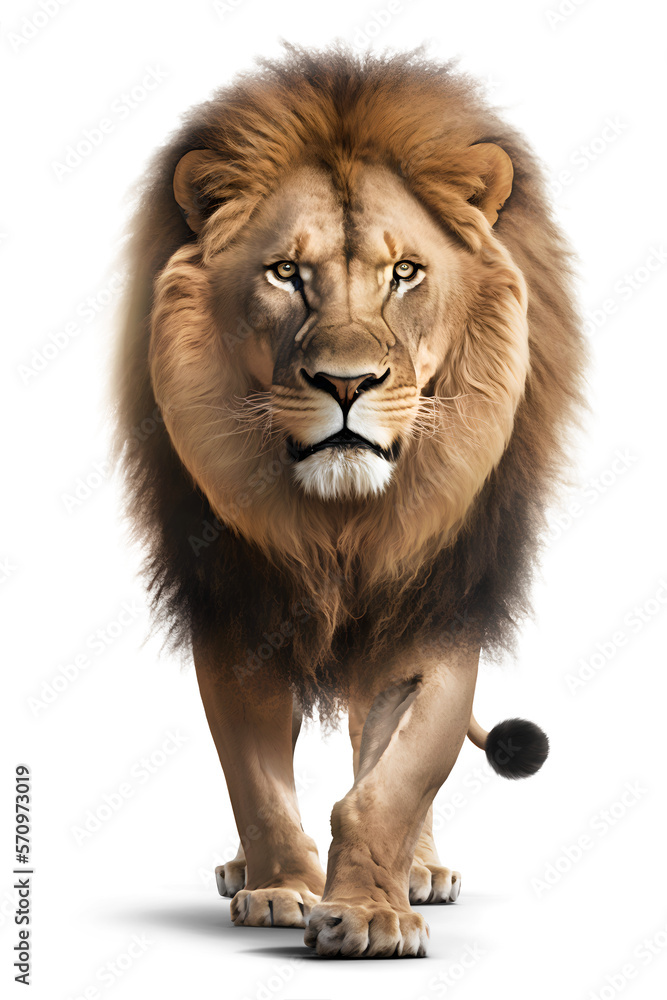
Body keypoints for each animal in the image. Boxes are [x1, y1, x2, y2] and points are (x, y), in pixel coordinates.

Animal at [114, 46, 585, 958]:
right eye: (285, 273)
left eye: (404, 273)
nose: (345, 383)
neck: (343, 526)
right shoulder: (238, 607)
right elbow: (256, 778)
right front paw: (279, 889)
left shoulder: (439, 608)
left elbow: (395, 783)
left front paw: (369, 911)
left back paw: (420, 872)